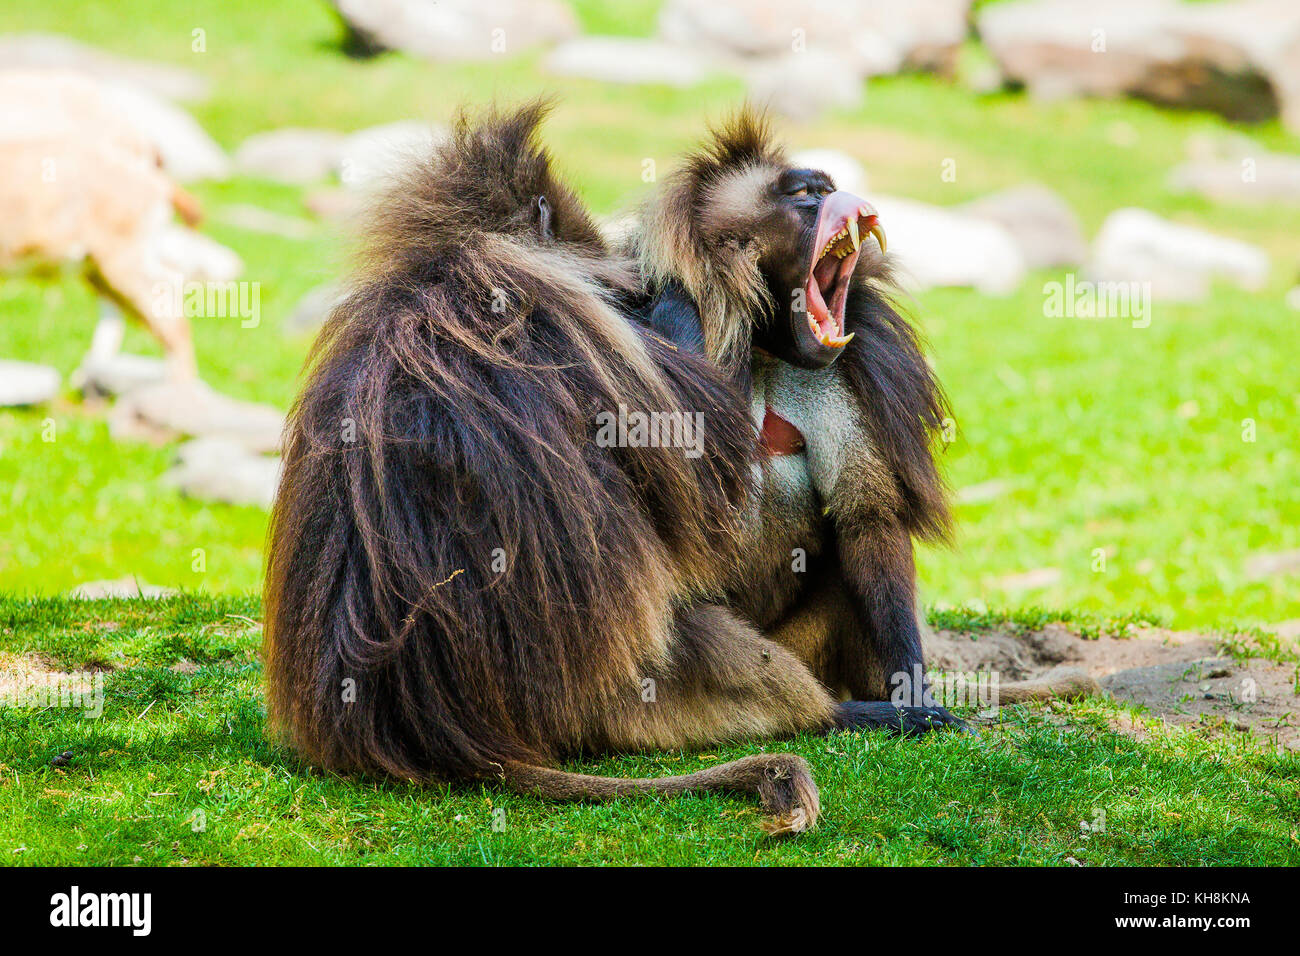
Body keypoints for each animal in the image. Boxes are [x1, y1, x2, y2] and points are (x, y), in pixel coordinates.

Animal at [262, 103, 953, 837]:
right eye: (804, 194)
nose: (841, 195)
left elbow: (865, 514)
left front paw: (912, 684)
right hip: (622, 698)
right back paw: (841, 714)